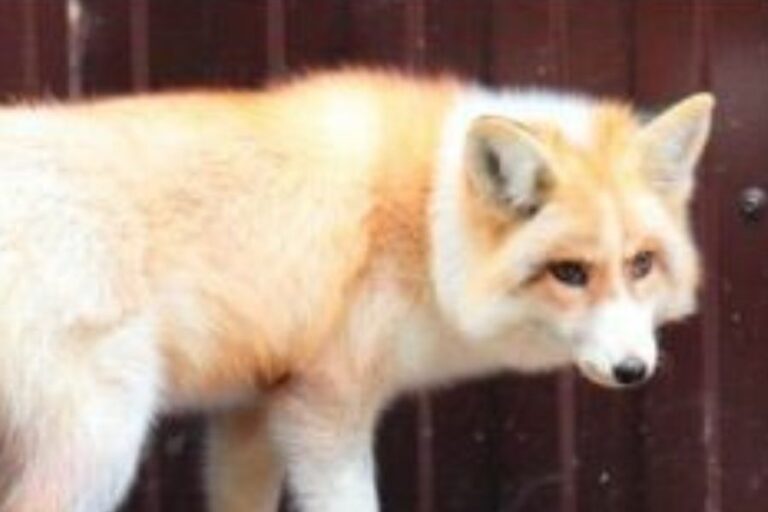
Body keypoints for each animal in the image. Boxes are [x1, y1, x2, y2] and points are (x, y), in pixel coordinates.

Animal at [0, 69, 713, 512]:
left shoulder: (255, 409)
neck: (427, 222)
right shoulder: (326, 406)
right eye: (570, 273)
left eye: (642, 263)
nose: (633, 370)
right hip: (103, 443)